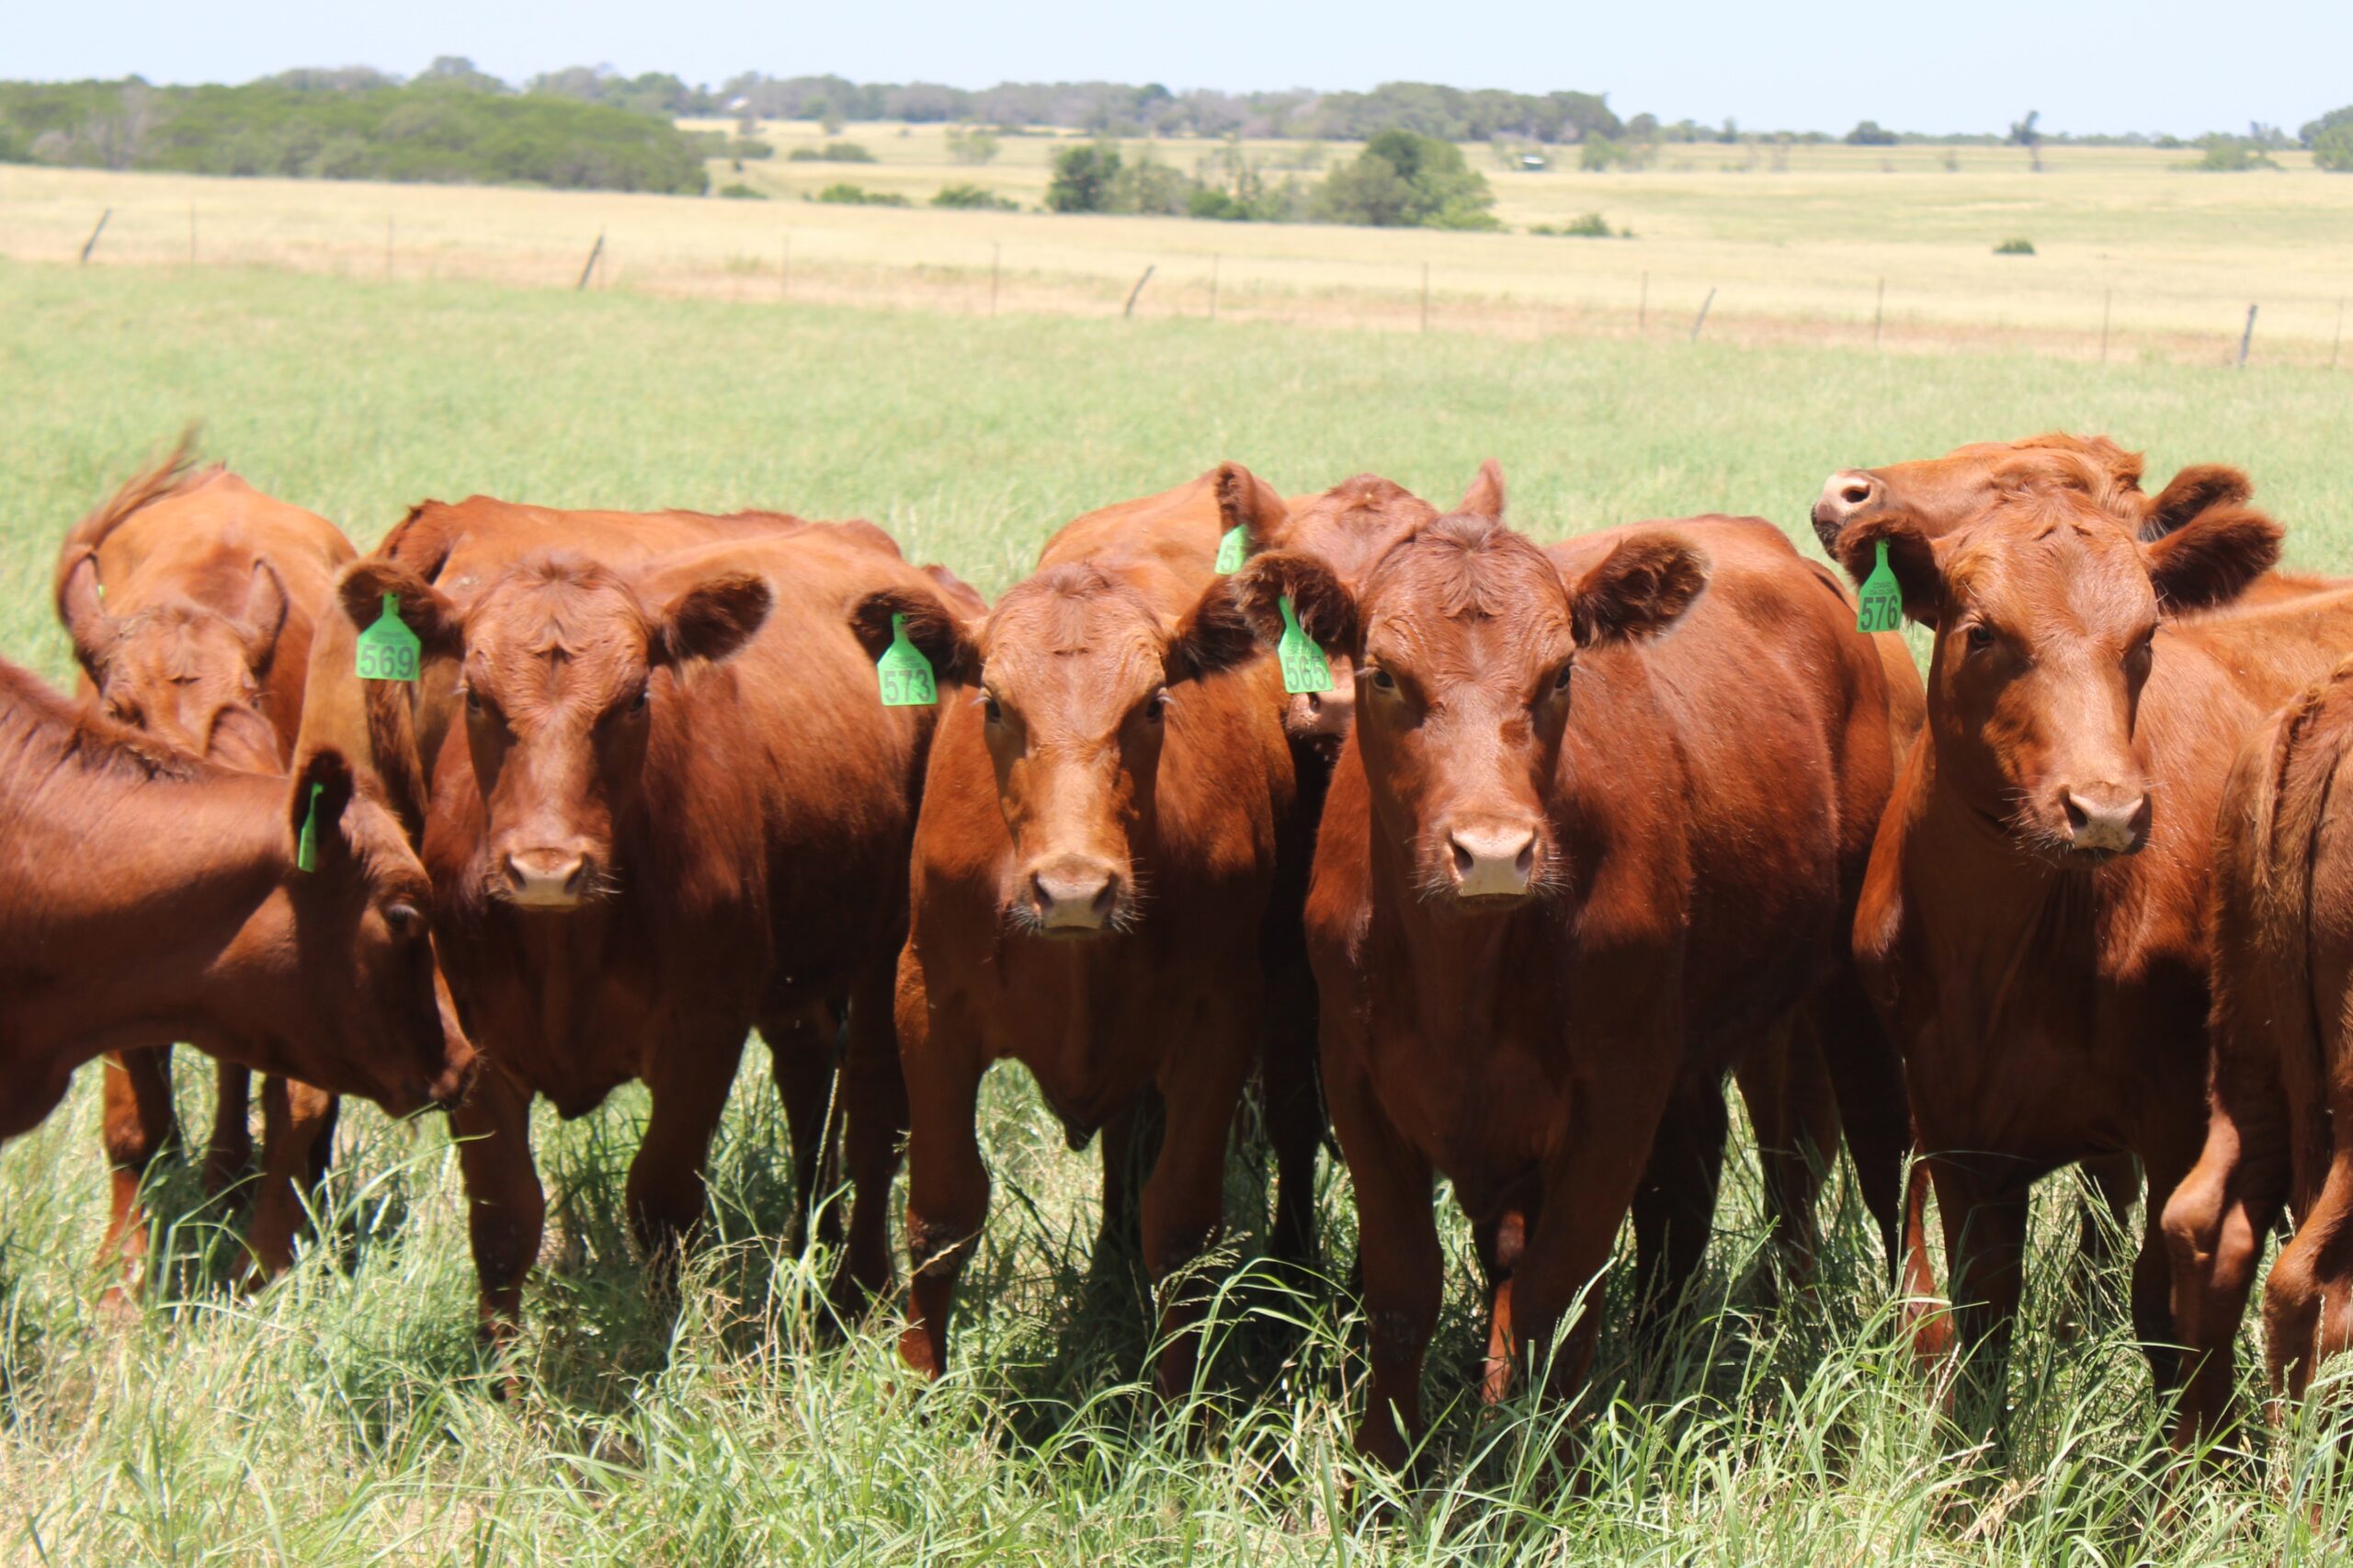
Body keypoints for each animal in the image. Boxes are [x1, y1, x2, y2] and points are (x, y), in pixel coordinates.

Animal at [52, 445, 360, 1291]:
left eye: (244, 702)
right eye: (119, 711)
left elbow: (298, 1110)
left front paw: (266, 1268)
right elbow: (136, 1122)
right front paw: (120, 1285)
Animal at [336, 522, 959, 1336]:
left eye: (635, 699)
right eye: (475, 696)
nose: (546, 867)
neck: (566, 949)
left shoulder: (702, 1036)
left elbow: (660, 1204)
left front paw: (667, 1343)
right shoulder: (473, 1045)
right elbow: (504, 1220)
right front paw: (501, 1369)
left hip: (886, 951)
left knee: (873, 1115)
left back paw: (856, 1288)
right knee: (809, 1084)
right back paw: (811, 1249)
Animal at [872, 463, 1326, 1399]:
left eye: (1153, 704)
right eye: (994, 704)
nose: (1073, 888)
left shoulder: (1218, 1018)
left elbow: (1182, 1227)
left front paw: (1182, 1402)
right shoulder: (926, 1001)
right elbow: (941, 1210)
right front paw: (920, 1387)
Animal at [1232, 490, 1917, 1468]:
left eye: (1561, 674)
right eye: (1384, 674)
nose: (1491, 851)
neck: (1458, 977)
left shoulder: (1616, 1090)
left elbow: (1557, 1289)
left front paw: (1542, 1468)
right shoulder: (1358, 1079)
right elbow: (1405, 1289)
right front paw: (1384, 1466)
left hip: (1844, 985)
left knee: (1877, 1150)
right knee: (1689, 1182)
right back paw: (1660, 1350)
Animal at [1830, 476, 2353, 1431]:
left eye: (2145, 638)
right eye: (1982, 632)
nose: (2104, 811)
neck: (1995, 964)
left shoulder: (2176, 1109)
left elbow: (2158, 1310)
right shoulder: (1955, 1132)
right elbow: (1974, 1315)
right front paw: (1974, 1469)